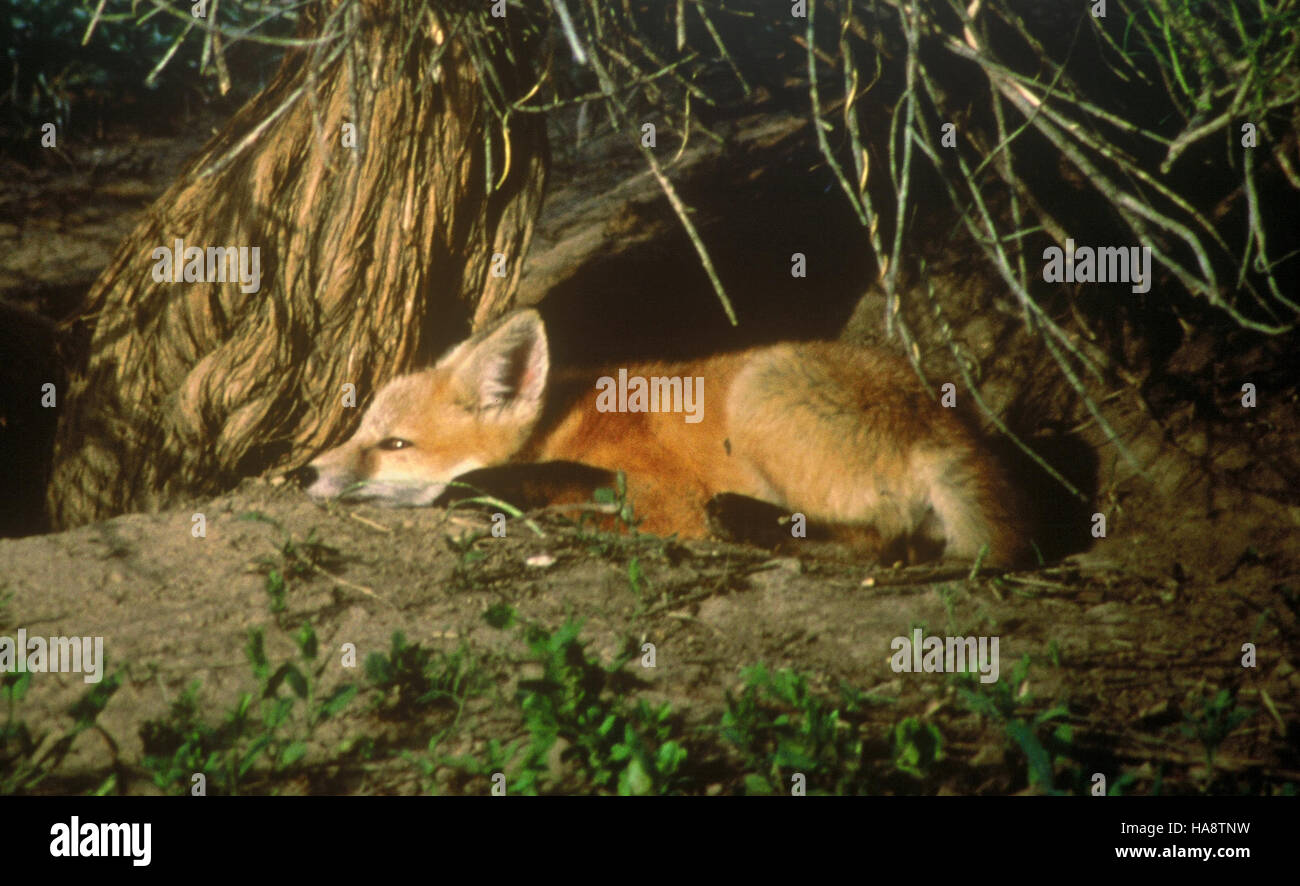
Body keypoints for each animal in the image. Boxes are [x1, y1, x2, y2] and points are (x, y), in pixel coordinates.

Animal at [300, 309, 1029, 566]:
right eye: (358, 430)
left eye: (395, 446)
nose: (303, 473)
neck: (563, 420)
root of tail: (945, 423)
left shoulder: (665, 492)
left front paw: (494, 496)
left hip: (759, 392)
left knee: (877, 540)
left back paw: (744, 522)